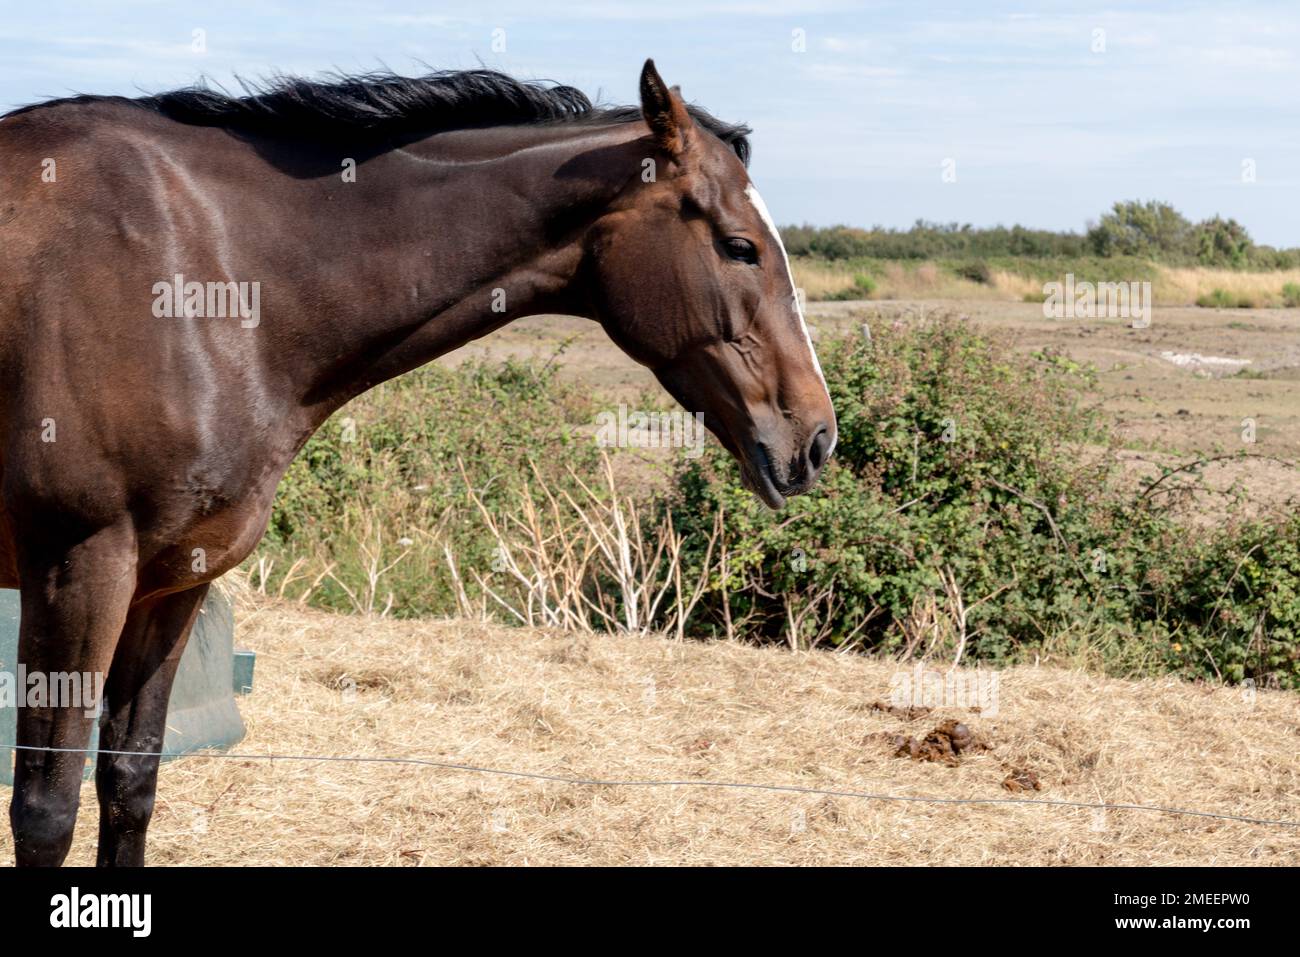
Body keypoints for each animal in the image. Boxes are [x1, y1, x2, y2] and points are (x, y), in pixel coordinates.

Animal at [0, 59, 836, 866]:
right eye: (739, 246)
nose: (817, 437)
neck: (205, 273)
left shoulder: (174, 583)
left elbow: (128, 785)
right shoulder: (78, 571)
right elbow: (45, 817)